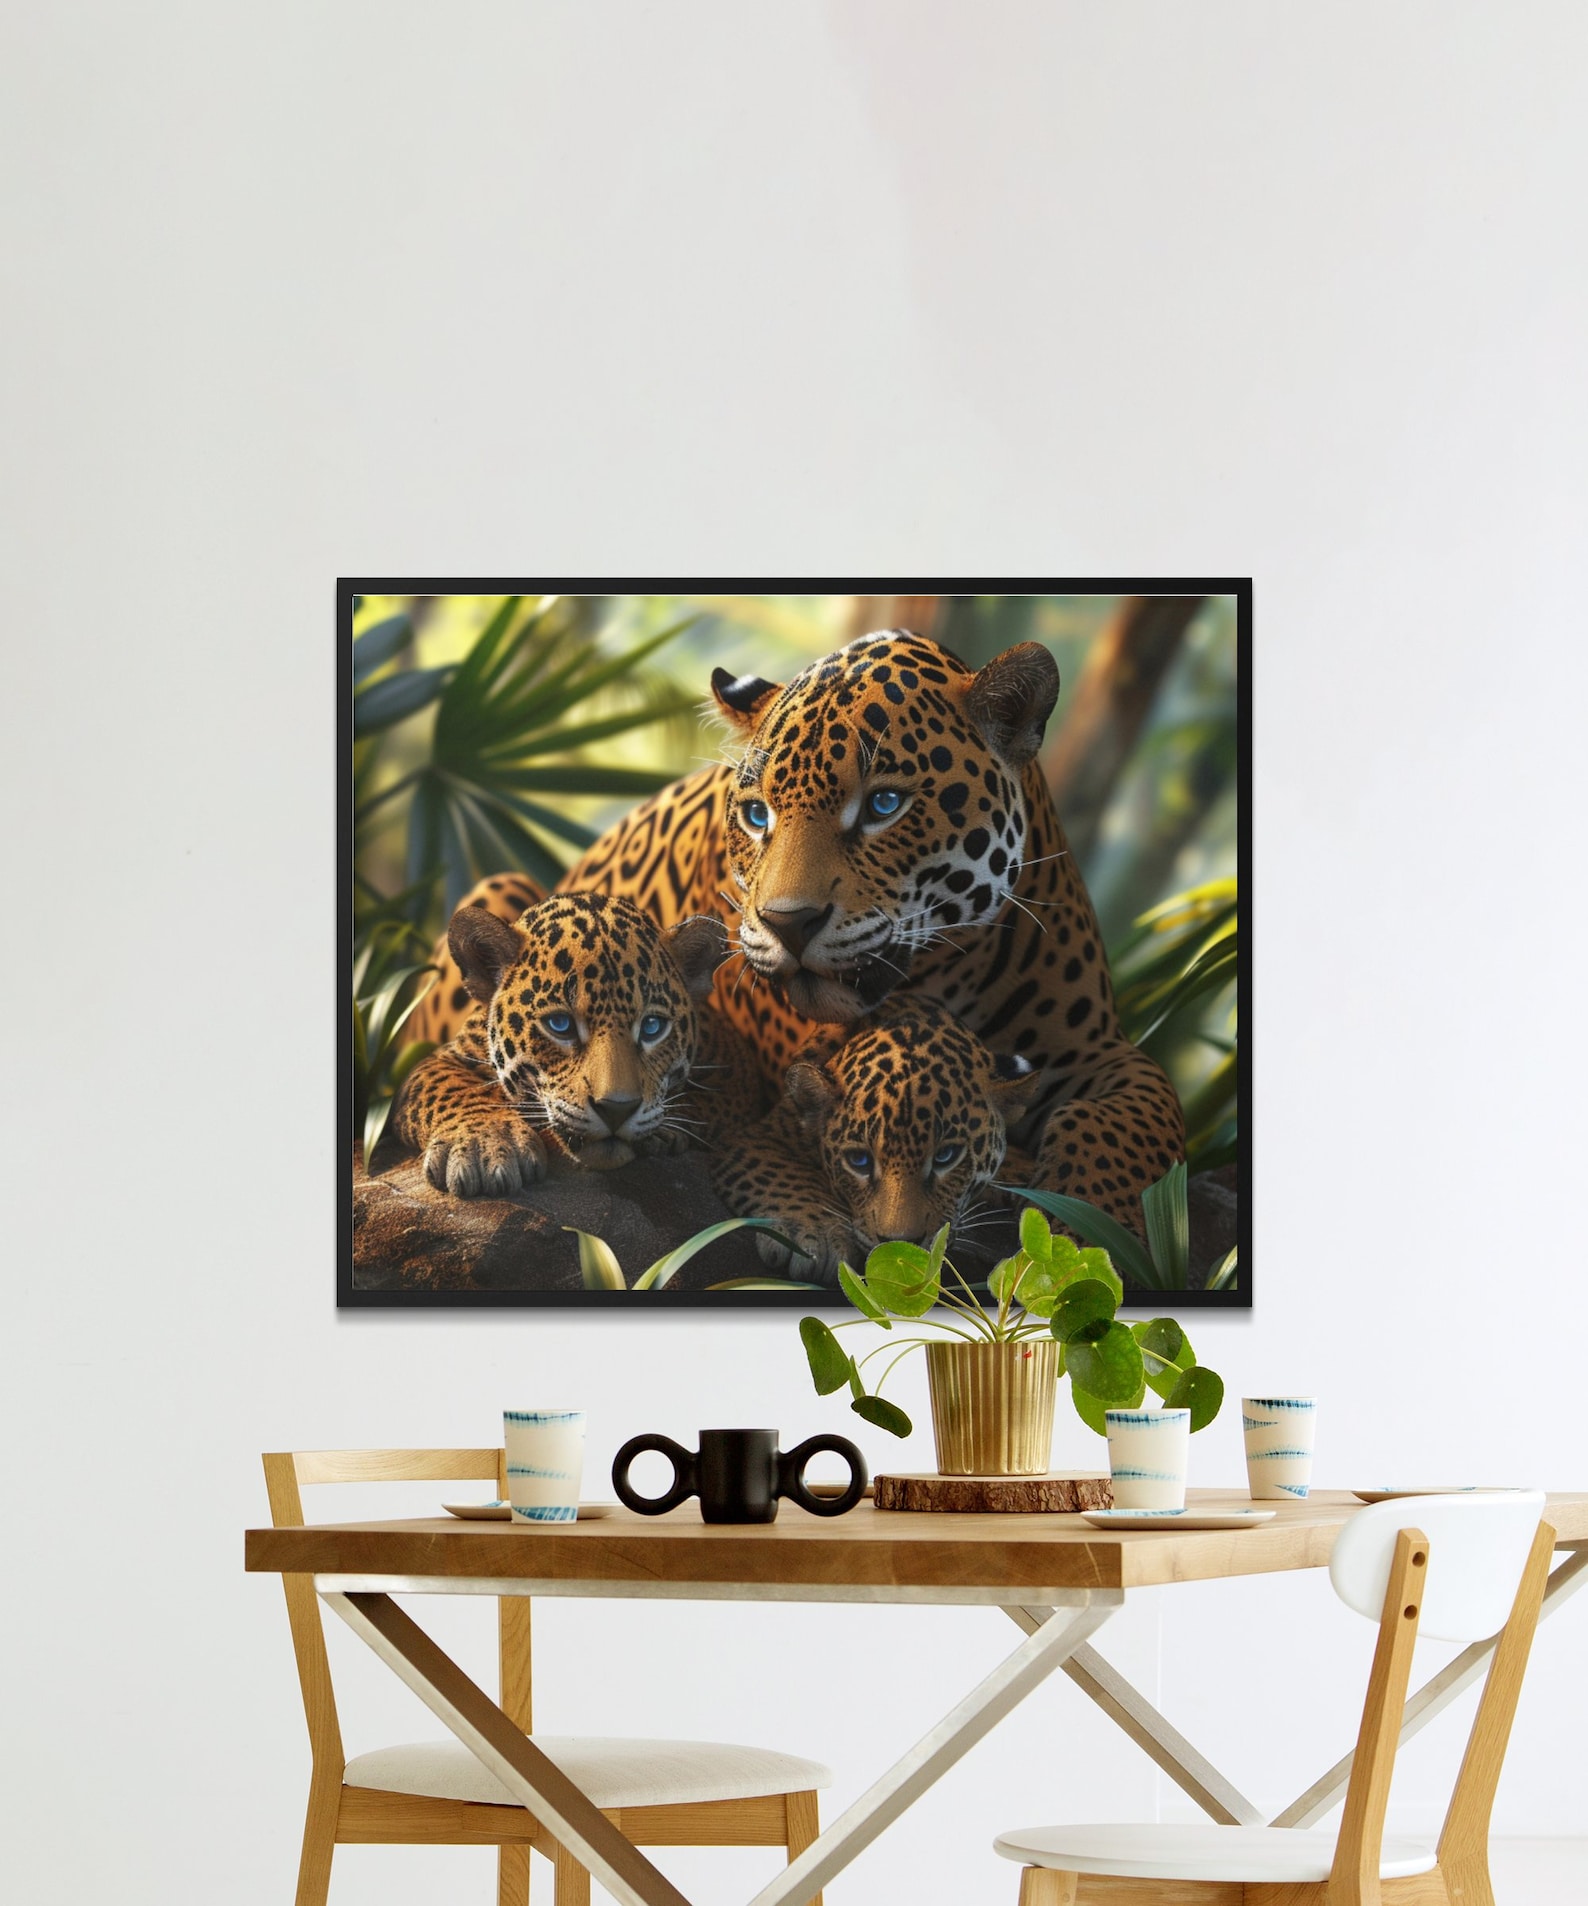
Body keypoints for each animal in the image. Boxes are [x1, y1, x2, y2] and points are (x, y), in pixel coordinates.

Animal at [393, 888, 763, 1197]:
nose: (617, 1109)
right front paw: (485, 1147)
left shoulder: (739, 1070)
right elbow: (448, 1085)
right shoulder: (447, 1056)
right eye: (560, 1025)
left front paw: (665, 1128)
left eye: (652, 1027)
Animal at [711, 997, 1041, 1283]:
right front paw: (818, 1236)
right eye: (859, 1161)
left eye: (945, 1156)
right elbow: (787, 1179)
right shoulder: (758, 1139)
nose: (899, 1246)